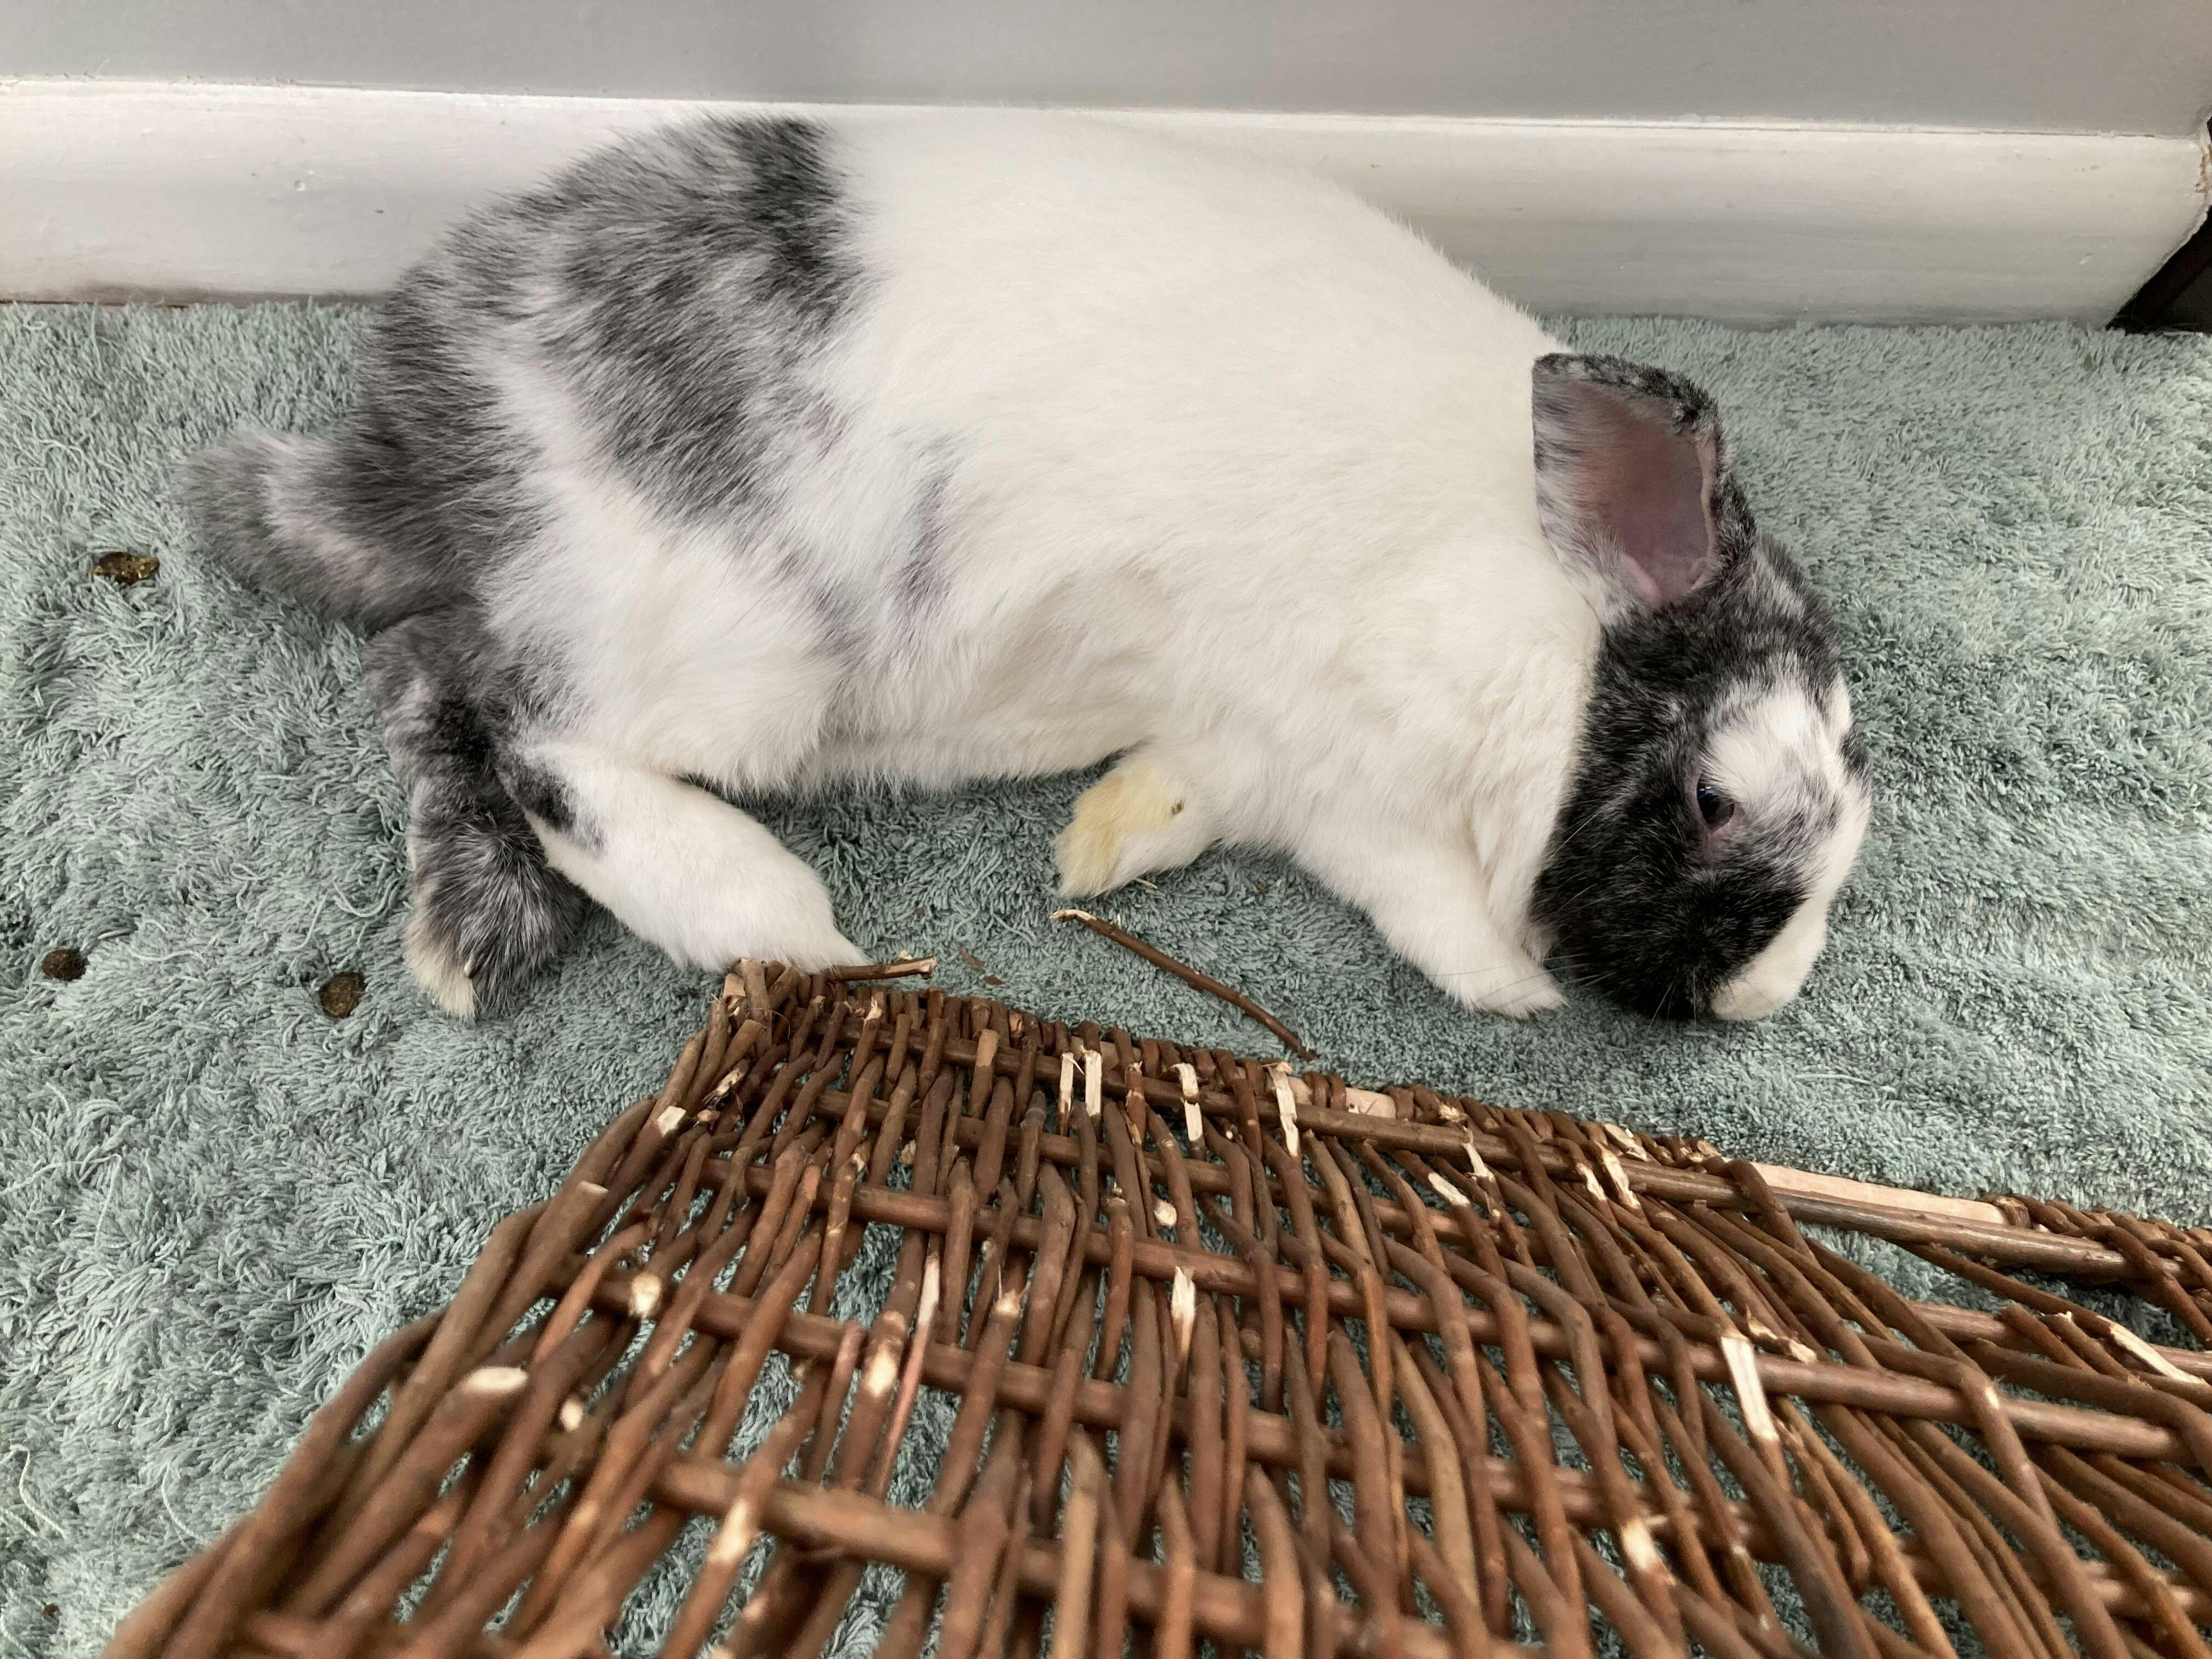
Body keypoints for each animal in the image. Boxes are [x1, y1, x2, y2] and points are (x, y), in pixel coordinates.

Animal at [188, 110, 1870, 1023]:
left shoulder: (1255, 744)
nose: (1766, 999)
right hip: (715, 648)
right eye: (1714, 802)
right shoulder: (1360, 775)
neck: (1541, 610)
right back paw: (770, 920)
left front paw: (1100, 849)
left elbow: (1187, 793)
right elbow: (1427, 905)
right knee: (527, 732)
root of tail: (430, 447)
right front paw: (1511, 988)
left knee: (417, 672)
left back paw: (467, 933)